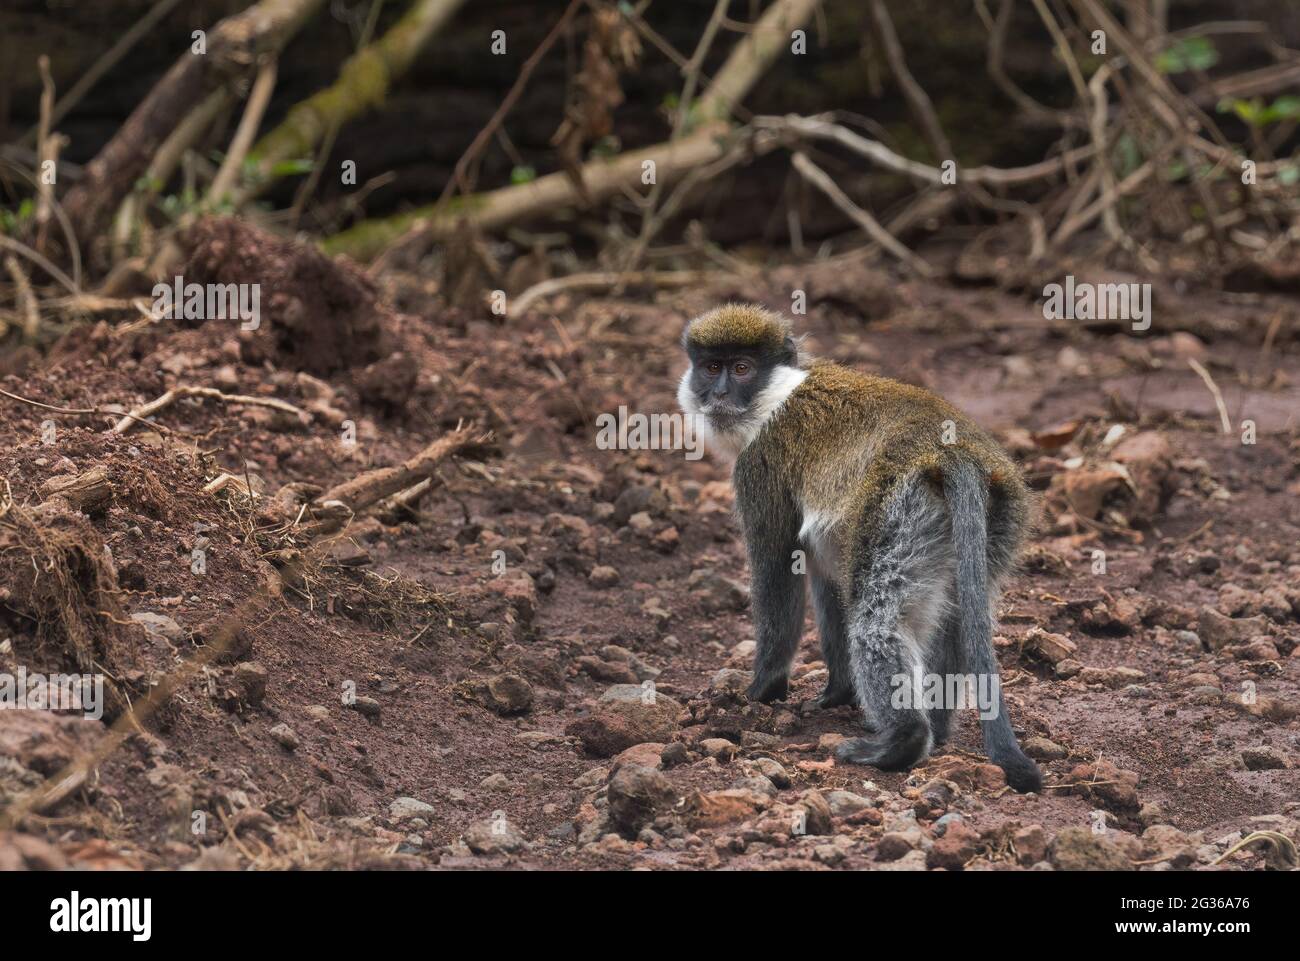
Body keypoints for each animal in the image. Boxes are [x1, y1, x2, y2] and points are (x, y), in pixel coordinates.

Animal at [676, 304, 1040, 790]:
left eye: (741, 369)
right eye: (712, 366)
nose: (717, 393)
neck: (778, 394)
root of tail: (953, 452)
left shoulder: (760, 466)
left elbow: (778, 575)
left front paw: (760, 691)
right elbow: (828, 587)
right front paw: (836, 694)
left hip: (897, 512)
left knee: (876, 621)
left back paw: (904, 739)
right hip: (999, 519)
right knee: (956, 619)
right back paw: (936, 729)